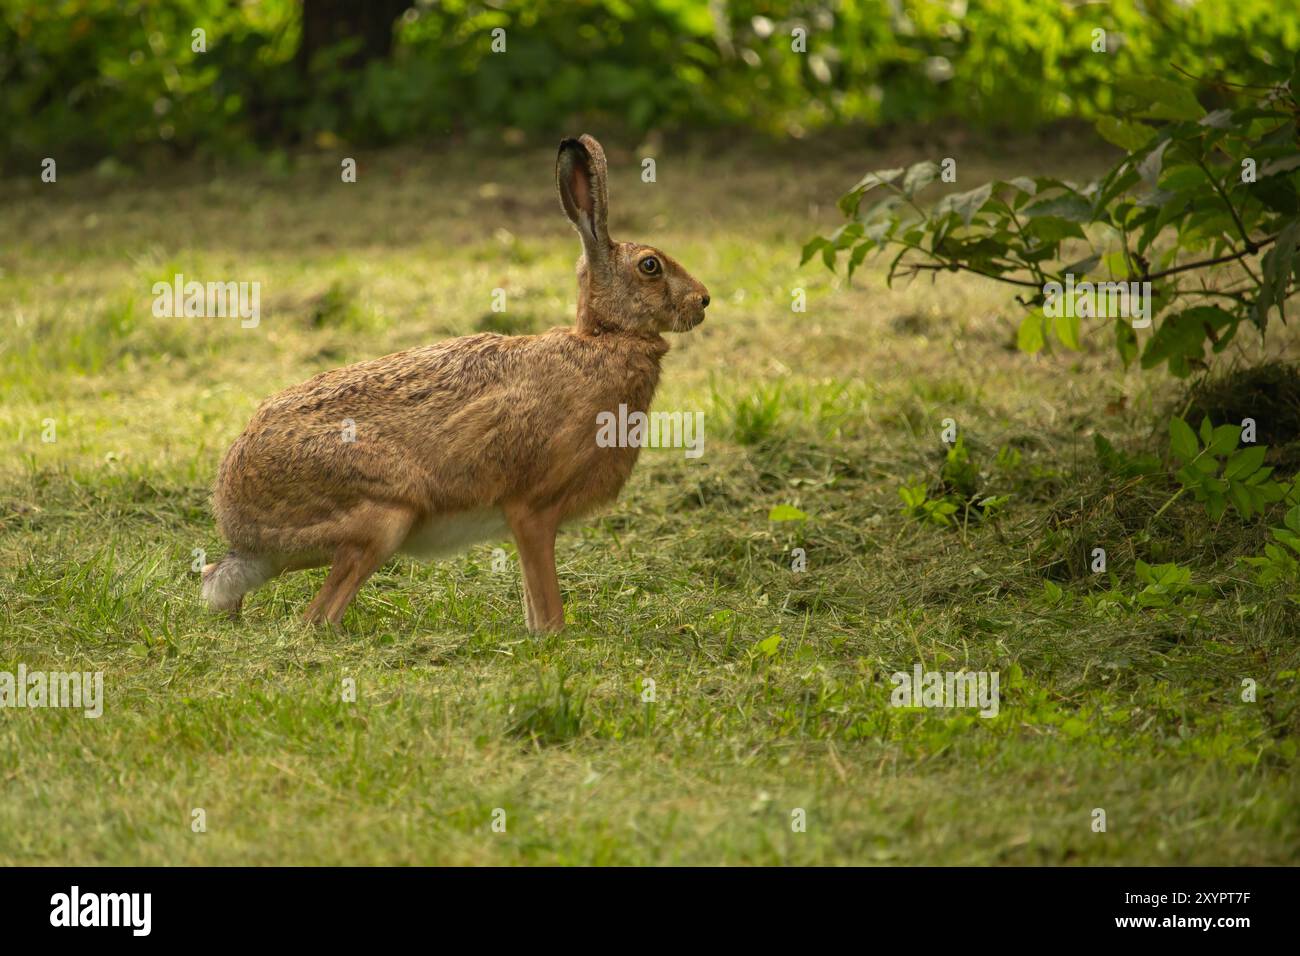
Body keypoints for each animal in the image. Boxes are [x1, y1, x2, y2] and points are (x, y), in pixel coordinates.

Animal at [202, 134, 710, 632]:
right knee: (316, 619)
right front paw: (555, 639)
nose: (704, 300)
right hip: (384, 518)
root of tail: (236, 519)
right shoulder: (533, 508)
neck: (604, 339)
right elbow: (546, 599)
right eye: (650, 266)